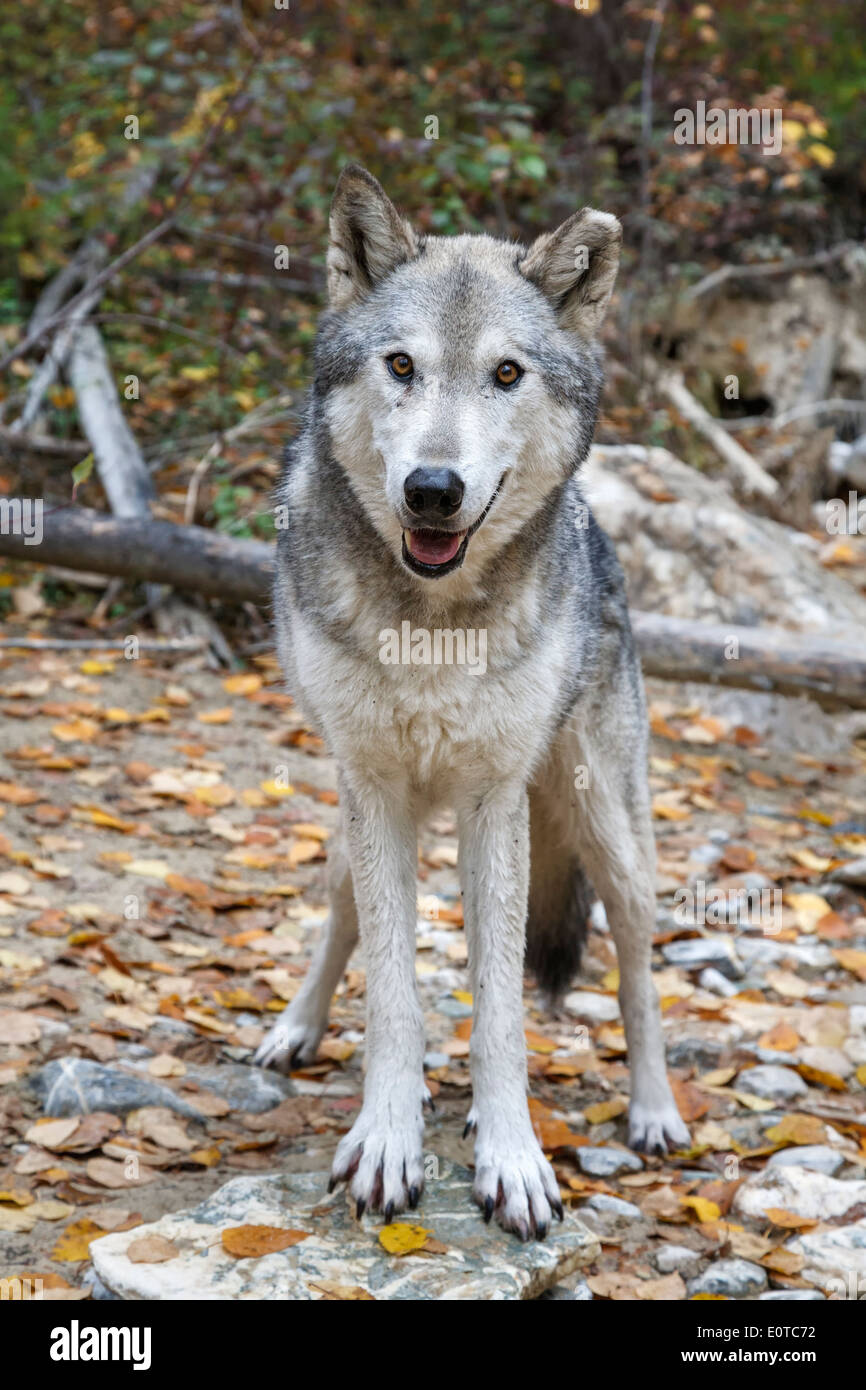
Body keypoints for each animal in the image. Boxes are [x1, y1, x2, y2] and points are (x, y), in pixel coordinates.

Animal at [255, 164, 689, 1239]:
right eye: (402, 365)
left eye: (505, 374)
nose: (433, 489)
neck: (434, 625)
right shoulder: (373, 788)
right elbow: (395, 992)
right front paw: (386, 1139)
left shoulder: (496, 800)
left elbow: (499, 1010)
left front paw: (514, 1161)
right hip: (356, 826)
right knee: (344, 920)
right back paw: (298, 1031)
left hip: (605, 828)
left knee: (637, 966)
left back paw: (655, 1112)